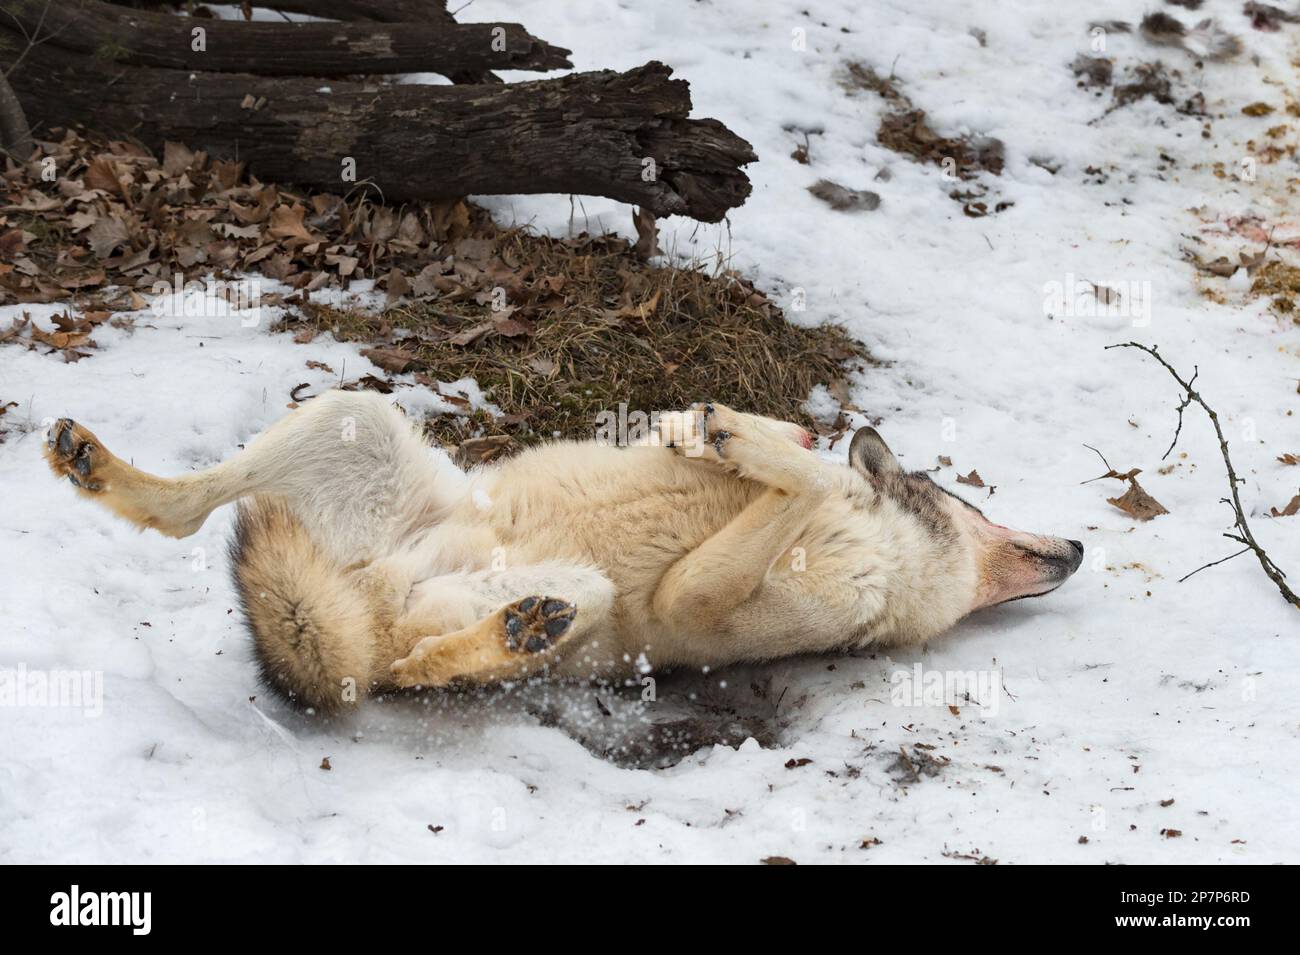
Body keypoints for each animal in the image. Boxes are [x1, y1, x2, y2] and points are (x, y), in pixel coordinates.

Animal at [44, 392, 1082, 713]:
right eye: (978, 503)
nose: (1078, 543)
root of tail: (359, 595)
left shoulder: (695, 600)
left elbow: (810, 476)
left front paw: (740, 441)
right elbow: (802, 455)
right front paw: (715, 431)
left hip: (576, 594)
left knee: (408, 671)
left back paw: (511, 634)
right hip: (356, 409)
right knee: (185, 510)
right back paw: (92, 463)